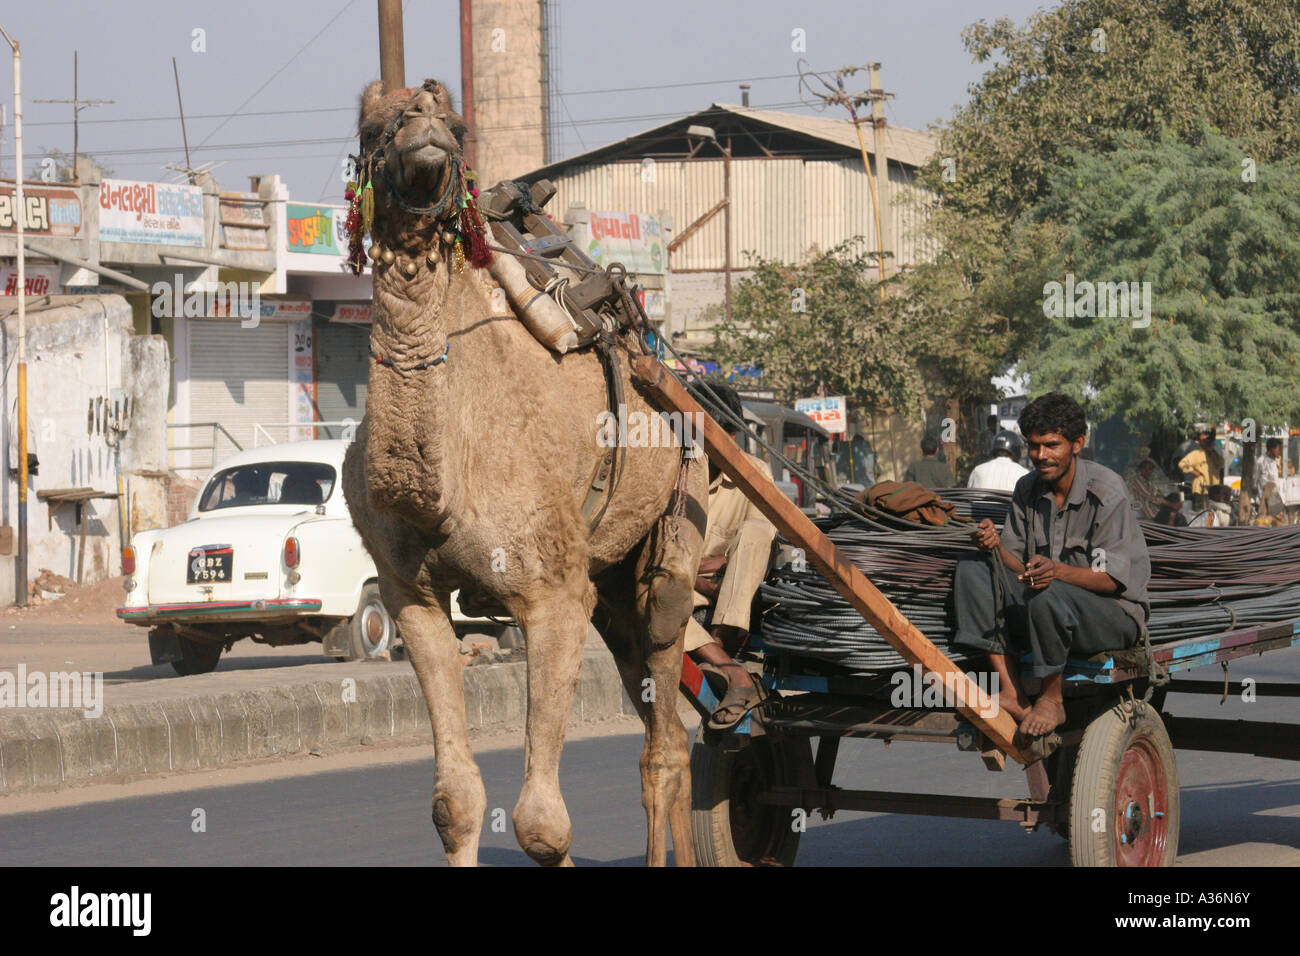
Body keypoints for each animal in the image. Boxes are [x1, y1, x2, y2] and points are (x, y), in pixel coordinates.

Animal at [340, 78, 707, 866]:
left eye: (455, 126)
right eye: (374, 126)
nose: (426, 134)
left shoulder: (551, 593)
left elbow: (543, 824)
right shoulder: (411, 597)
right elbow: (454, 803)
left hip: (674, 532)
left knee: (666, 720)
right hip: (609, 586)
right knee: (661, 728)